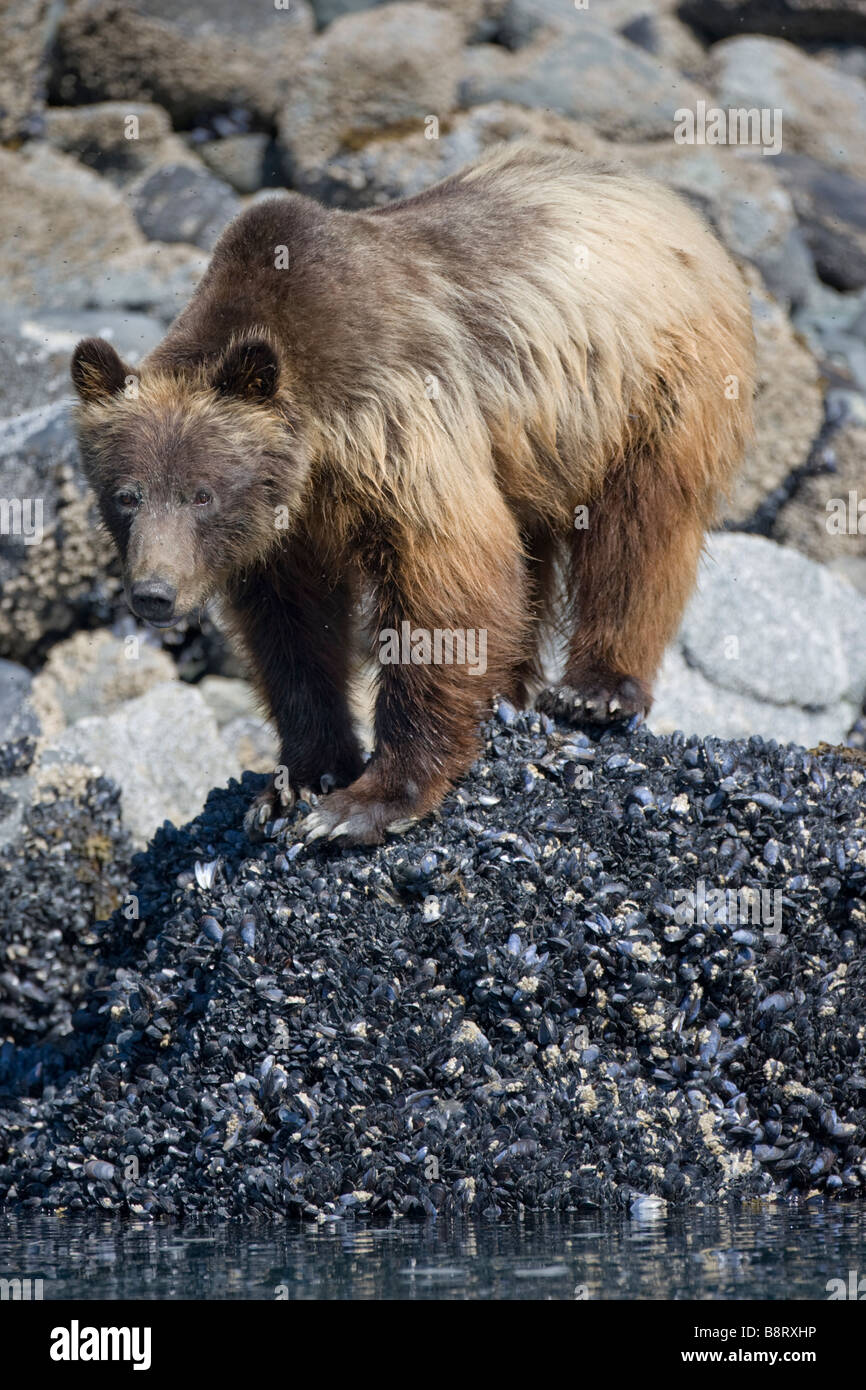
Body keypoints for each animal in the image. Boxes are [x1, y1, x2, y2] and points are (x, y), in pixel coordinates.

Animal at [70, 141, 755, 846]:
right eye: (125, 495)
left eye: (202, 494)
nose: (154, 593)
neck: (314, 451)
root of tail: (671, 203)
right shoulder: (285, 531)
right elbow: (291, 630)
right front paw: (294, 783)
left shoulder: (397, 422)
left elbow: (445, 581)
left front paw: (360, 805)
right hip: (536, 450)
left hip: (647, 387)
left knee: (640, 530)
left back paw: (595, 690)